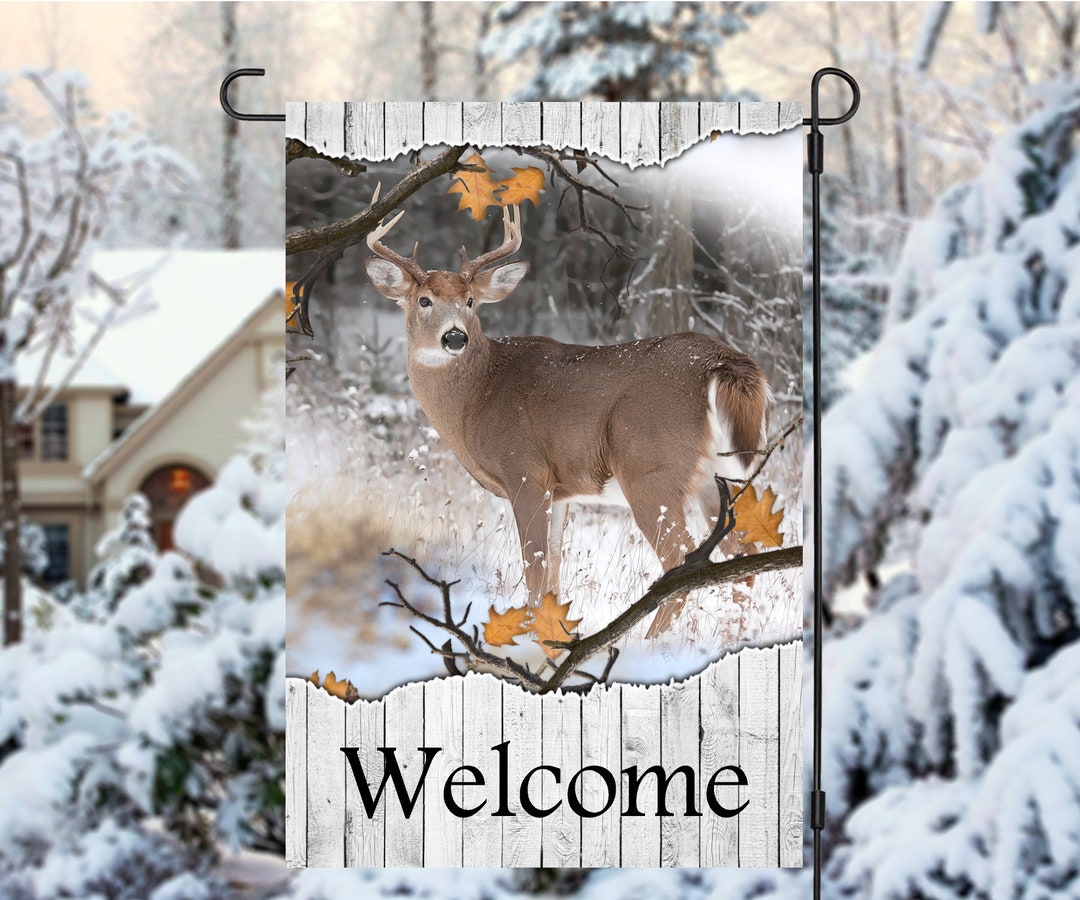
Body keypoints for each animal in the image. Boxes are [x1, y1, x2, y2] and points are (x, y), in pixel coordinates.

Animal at [364, 204, 770, 635]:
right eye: (424, 300)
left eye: (470, 301)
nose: (455, 337)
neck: (479, 398)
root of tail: (721, 362)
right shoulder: (558, 490)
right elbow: (555, 570)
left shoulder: (525, 471)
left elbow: (535, 570)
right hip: (720, 476)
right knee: (742, 553)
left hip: (651, 469)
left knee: (680, 558)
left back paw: (645, 641)